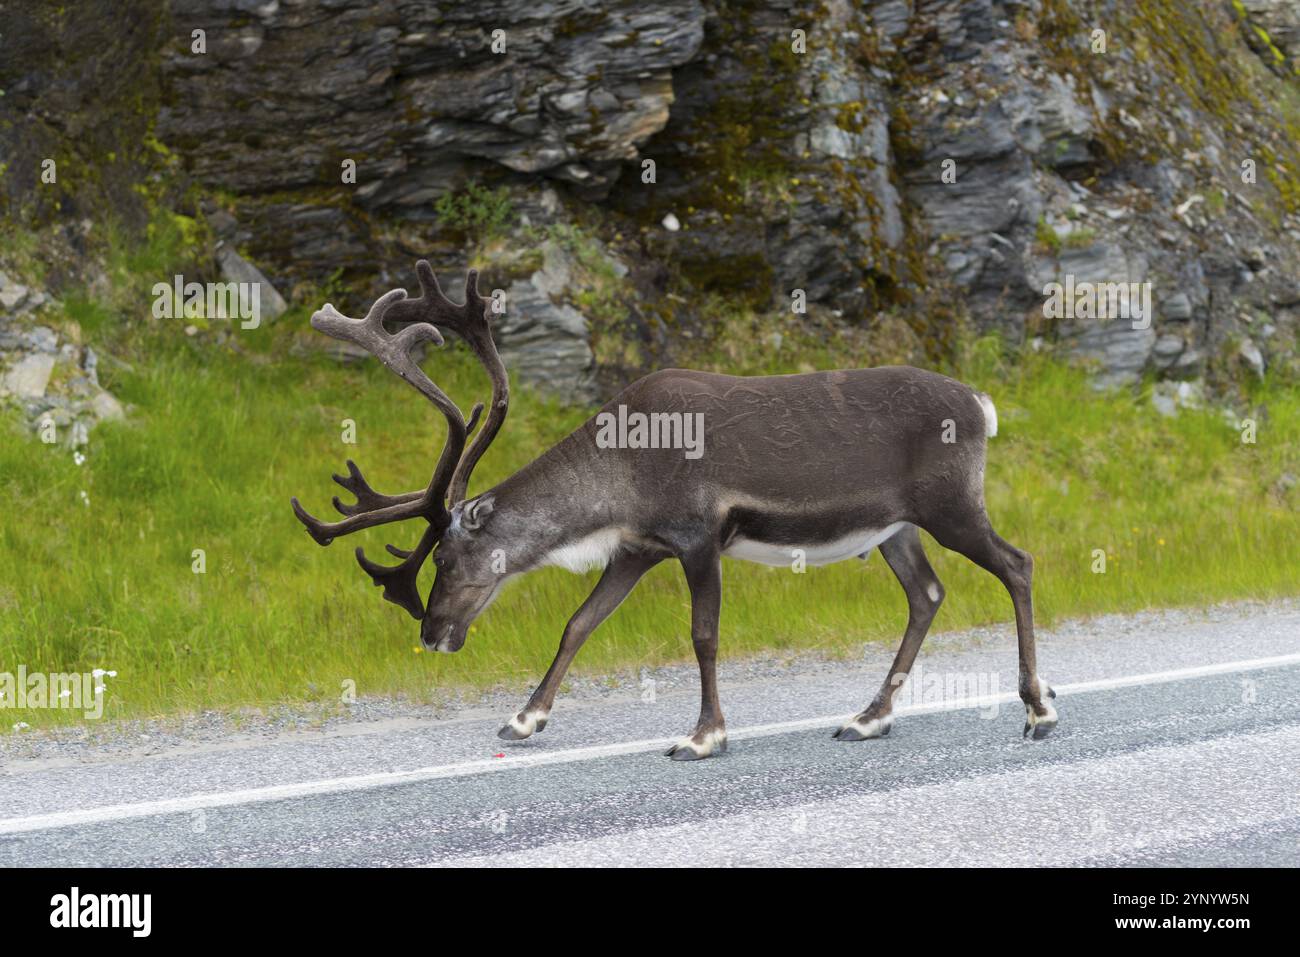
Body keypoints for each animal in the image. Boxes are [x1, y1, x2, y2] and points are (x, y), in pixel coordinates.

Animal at [290, 261, 1057, 761]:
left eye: (448, 558)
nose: (432, 633)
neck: (619, 479)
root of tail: (982, 403)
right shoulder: (636, 544)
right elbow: (579, 623)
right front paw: (524, 718)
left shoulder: (697, 535)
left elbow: (703, 635)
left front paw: (702, 735)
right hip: (896, 527)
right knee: (927, 593)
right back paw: (868, 718)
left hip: (950, 504)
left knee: (1018, 563)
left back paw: (1038, 709)